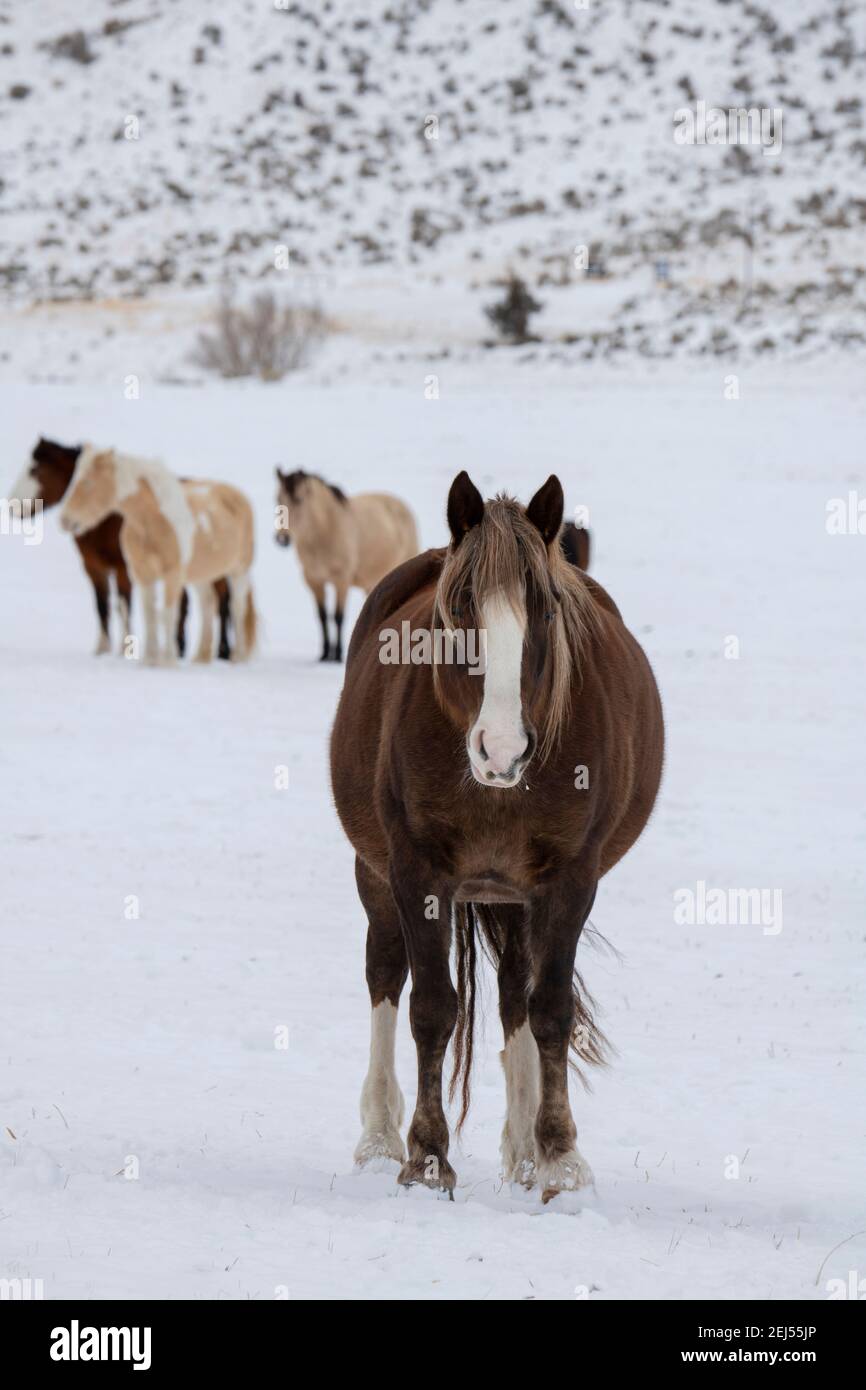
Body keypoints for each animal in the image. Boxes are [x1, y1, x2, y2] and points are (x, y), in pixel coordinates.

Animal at [8, 438, 232, 658]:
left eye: (34, 470)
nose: (12, 506)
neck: (109, 519)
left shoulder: (123, 568)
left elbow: (123, 606)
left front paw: (125, 650)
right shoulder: (94, 568)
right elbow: (101, 605)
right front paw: (101, 650)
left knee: (221, 602)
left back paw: (222, 650)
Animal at [59, 446, 257, 665]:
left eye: (87, 482)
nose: (65, 520)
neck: (152, 522)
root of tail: (236, 495)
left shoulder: (172, 574)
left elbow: (167, 614)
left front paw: (167, 661)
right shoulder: (142, 575)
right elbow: (150, 614)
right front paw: (149, 660)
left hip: (239, 570)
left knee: (237, 607)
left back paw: (238, 657)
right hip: (201, 576)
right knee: (207, 604)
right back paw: (200, 658)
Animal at [275, 468, 418, 661]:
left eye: (299, 499)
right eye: (278, 499)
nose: (282, 538)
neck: (326, 530)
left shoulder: (341, 580)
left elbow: (338, 617)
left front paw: (337, 655)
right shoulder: (314, 580)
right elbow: (322, 616)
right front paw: (324, 654)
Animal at [330, 472, 663, 1202]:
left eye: (545, 609)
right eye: (460, 607)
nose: (503, 749)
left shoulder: (570, 881)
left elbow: (550, 1010)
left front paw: (559, 1158)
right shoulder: (417, 874)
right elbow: (430, 1008)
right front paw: (426, 1158)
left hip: (514, 897)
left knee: (516, 996)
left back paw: (522, 1147)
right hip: (376, 877)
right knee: (383, 975)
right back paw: (377, 1137)